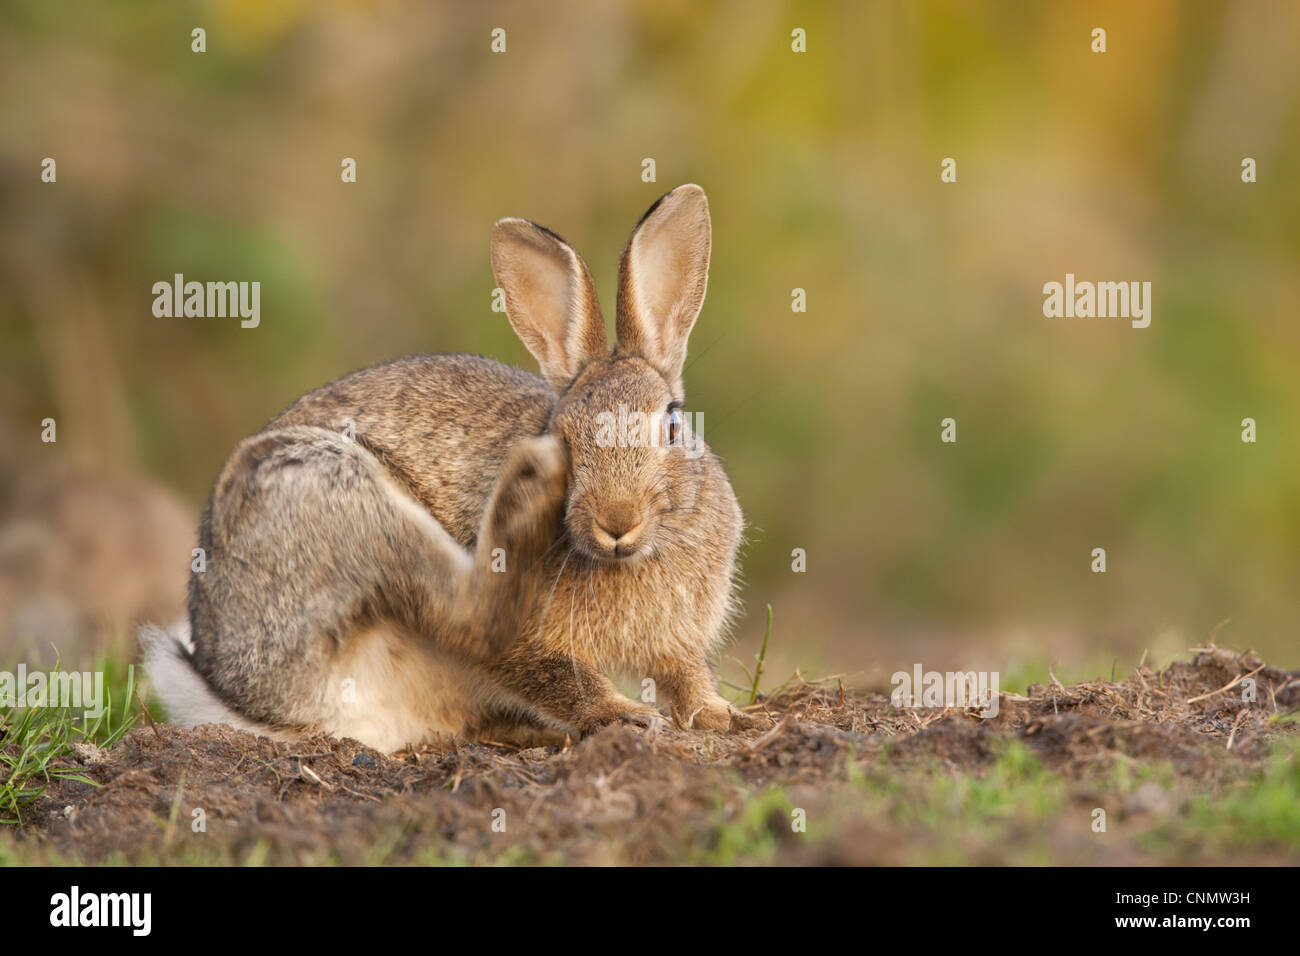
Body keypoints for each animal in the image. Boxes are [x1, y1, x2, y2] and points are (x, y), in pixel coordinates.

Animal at [142, 184, 750, 753]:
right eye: (563, 436)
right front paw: (624, 715)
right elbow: (554, 675)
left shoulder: (680, 643)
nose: (616, 522)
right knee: (471, 617)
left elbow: (685, 676)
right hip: (326, 488)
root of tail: (241, 694)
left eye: (672, 425)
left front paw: (724, 715)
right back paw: (524, 495)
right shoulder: (533, 648)